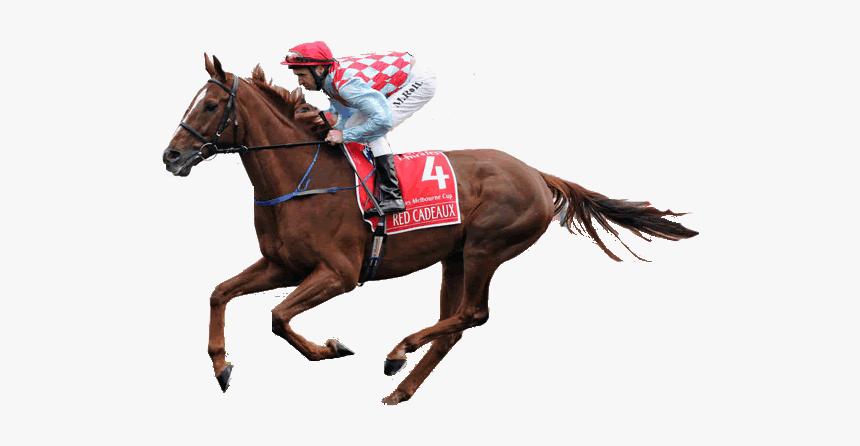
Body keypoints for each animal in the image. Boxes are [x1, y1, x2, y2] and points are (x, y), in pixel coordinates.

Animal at [162, 54, 698, 405]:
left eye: (210, 106)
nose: (171, 156)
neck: (301, 178)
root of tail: (535, 173)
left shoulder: (339, 274)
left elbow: (277, 317)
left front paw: (330, 350)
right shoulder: (282, 265)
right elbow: (219, 293)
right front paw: (221, 366)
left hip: (485, 248)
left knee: (473, 315)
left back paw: (399, 351)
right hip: (453, 257)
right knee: (454, 326)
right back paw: (401, 386)